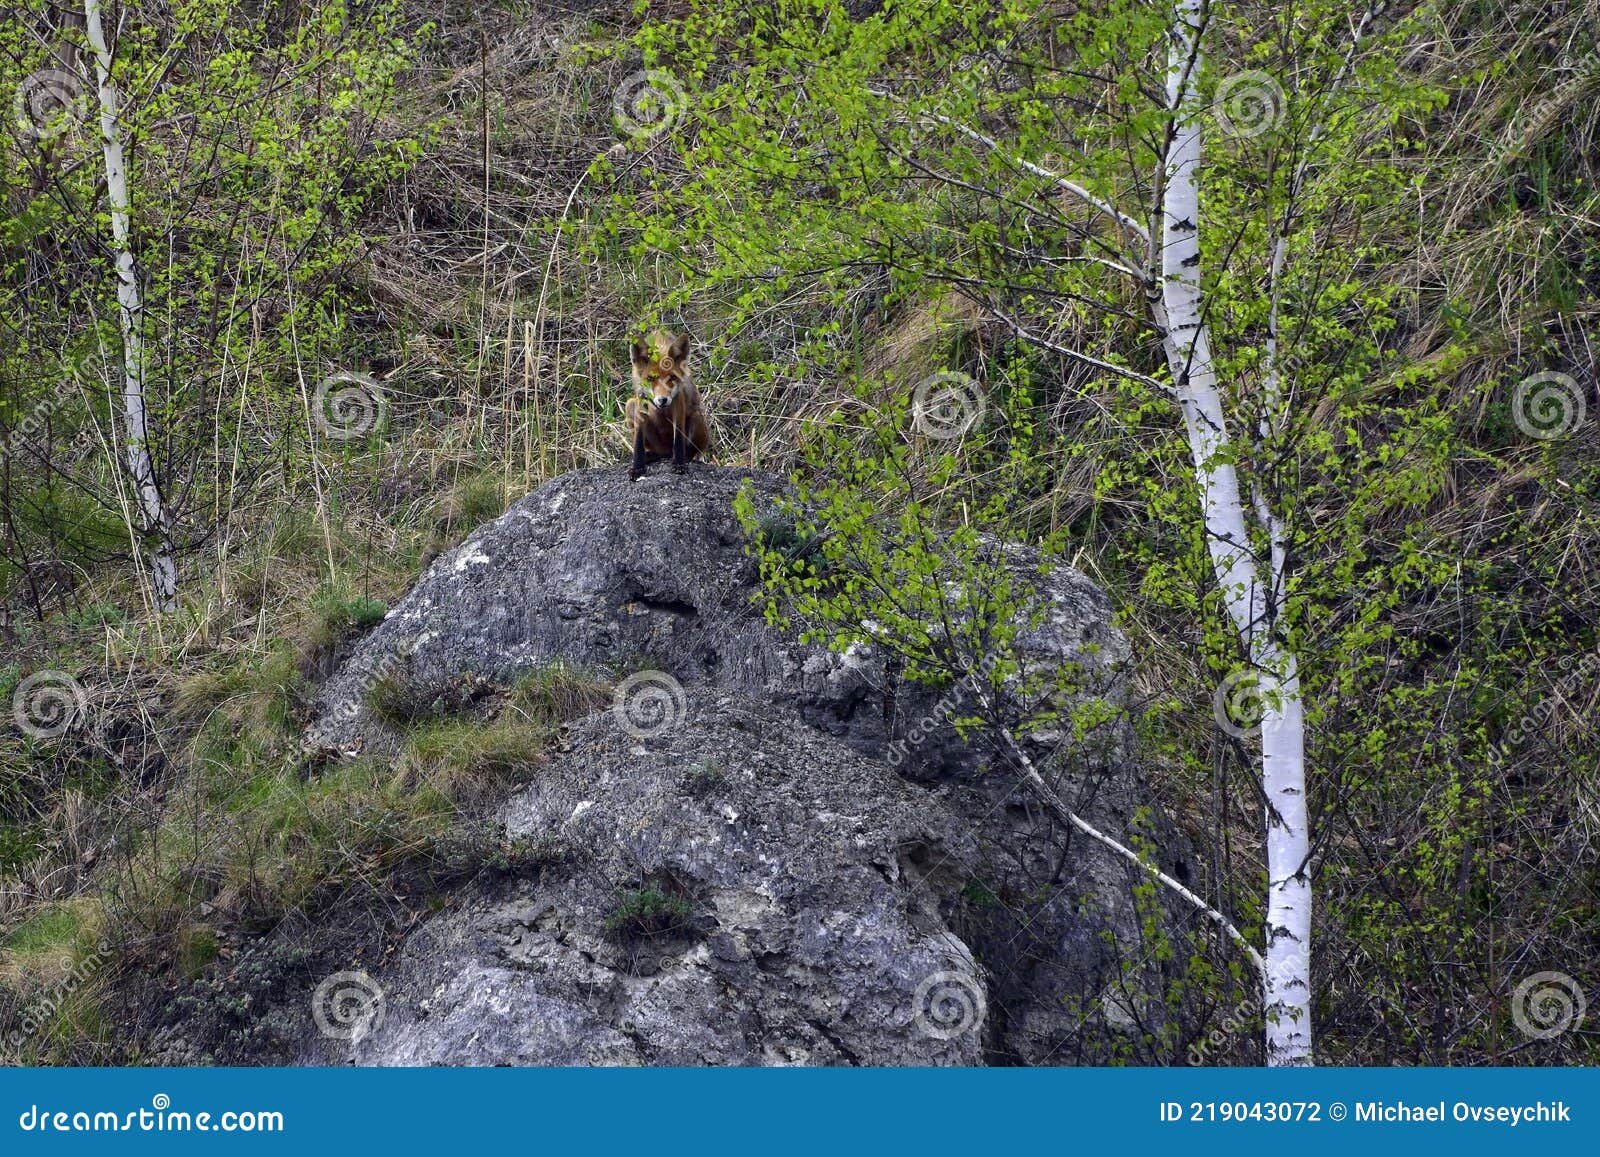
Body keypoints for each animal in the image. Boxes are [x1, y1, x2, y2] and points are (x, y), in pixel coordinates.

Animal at [625, 330, 710, 480]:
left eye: (673, 378)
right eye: (650, 378)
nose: (663, 400)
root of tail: (666, 452)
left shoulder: (678, 400)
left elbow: (678, 439)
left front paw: (679, 464)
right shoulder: (640, 398)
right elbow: (638, 442)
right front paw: (638, 468)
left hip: (696, 416)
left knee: (689, 450)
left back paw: (685, 457)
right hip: (630, 405)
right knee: (659, 452)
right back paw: (652, 455)